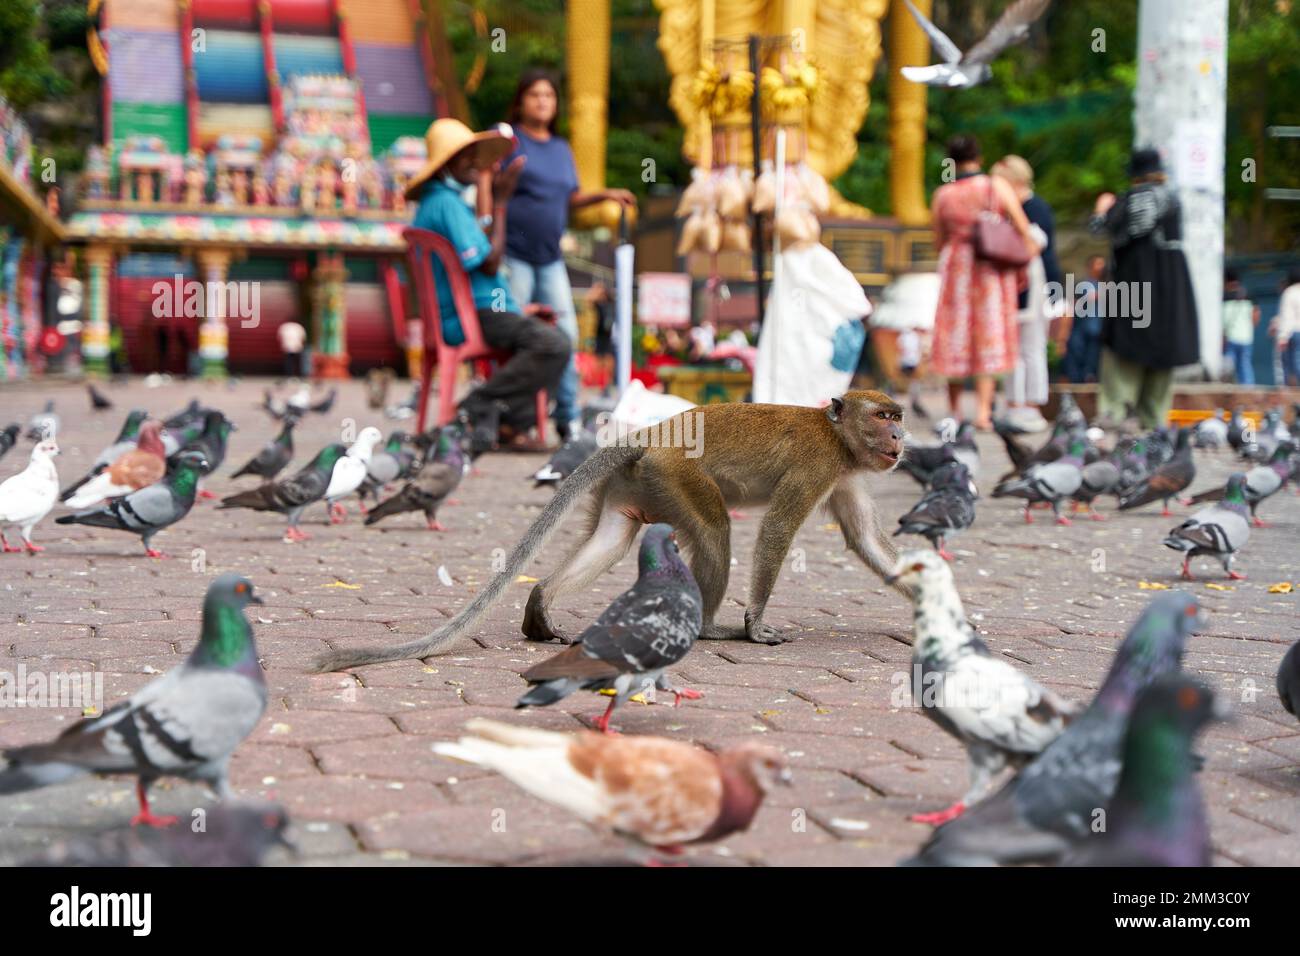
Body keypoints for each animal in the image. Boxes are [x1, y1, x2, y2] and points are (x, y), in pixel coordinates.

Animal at [311, 391, 909, 672]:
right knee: (714, 530)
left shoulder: (846, 474)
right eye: (883, 416)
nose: (901, 438)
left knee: (613, 538)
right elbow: (779, 526)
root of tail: (647, 436)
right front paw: (757, 624)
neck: (837, 436)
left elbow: (868, 543)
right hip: (676, 474)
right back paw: (706, 628)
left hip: (636, 484)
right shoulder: (818, 465)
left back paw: (541, 603)